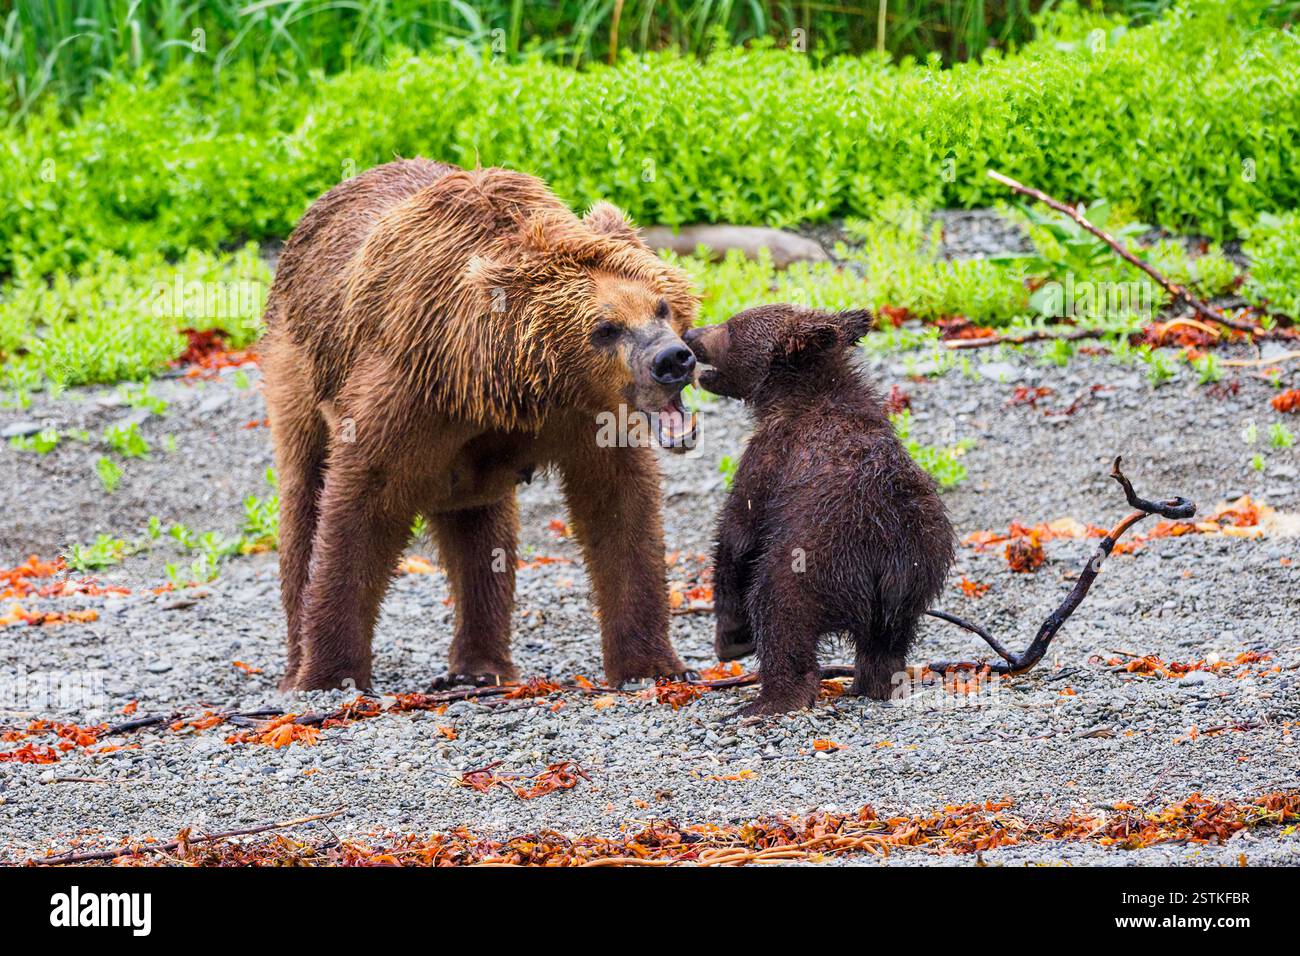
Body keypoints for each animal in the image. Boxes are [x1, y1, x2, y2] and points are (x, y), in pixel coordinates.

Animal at [260, 159, 701, 692]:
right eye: (606, 328)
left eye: (661, 305)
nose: (673, 359)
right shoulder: (407, 390)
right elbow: (359, 506)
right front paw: (330, 675)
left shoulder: (586, 419)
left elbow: (618, 506)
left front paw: (652, 664)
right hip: (296, 372)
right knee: (303, 500)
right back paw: (294, 666)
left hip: (467, 475)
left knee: (482, 534)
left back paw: (481, 666)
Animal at [683, 305, 954, 716]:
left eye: (729, 327)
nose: (690, 334)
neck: (796, 396)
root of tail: (890, 559)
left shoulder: (770, 456)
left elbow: (738, 534)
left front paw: (730, 635)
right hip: (921, 567)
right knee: (888, 642)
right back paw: (873, 683)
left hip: (815, 561)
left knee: (779, 611)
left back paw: (769, 700)